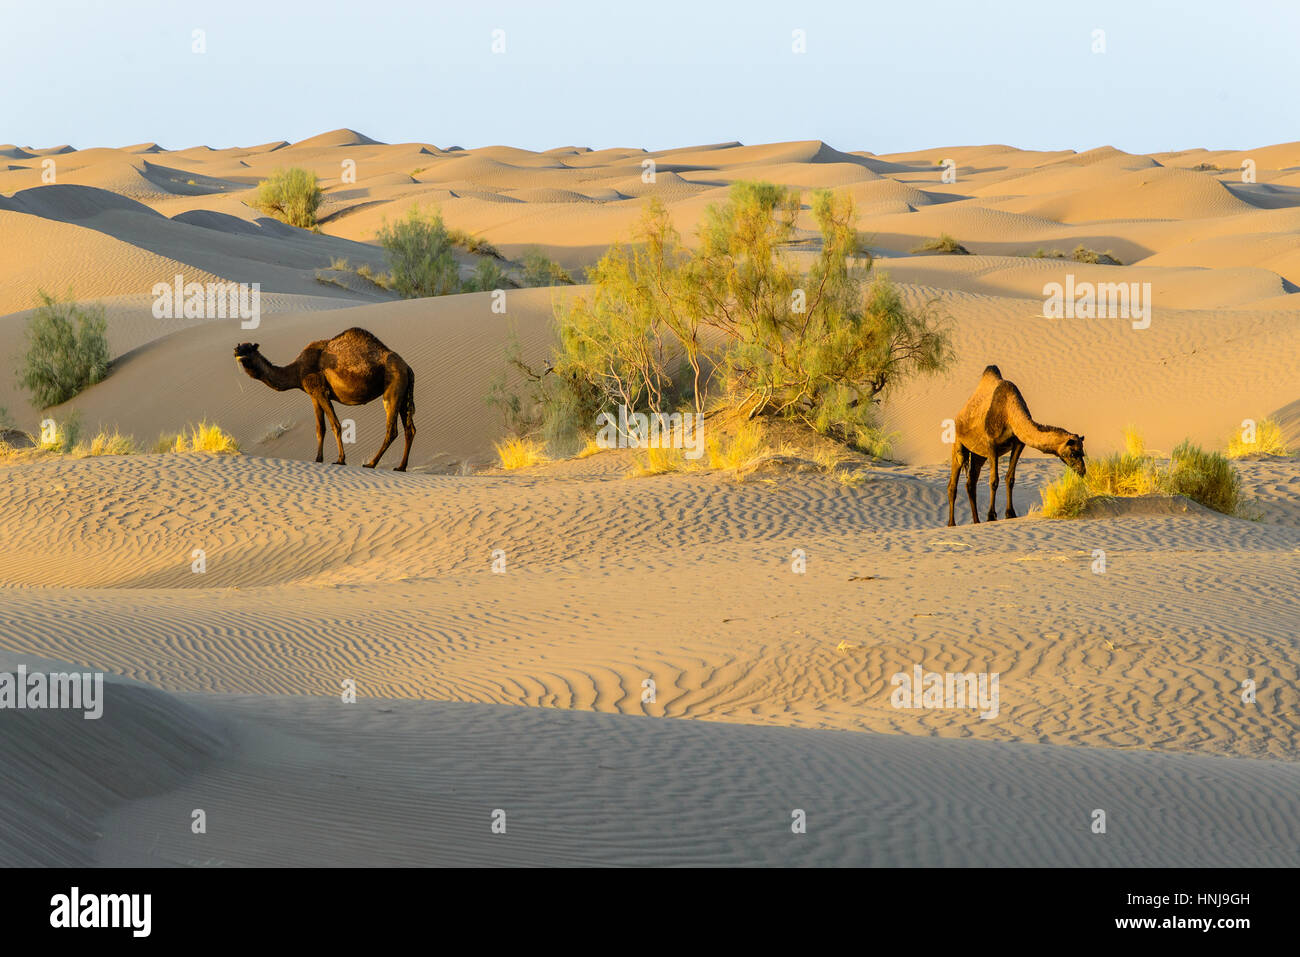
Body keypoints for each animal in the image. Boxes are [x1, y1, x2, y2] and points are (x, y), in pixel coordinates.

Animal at [234, 327, 415, 471]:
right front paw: (318, 459)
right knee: (410, 429)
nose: (236, 352)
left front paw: (340, 460)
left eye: (248, 349)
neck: (296, 371)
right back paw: (401, 467)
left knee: (392, 430)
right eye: (238, 347)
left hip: (393, 387)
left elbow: (335, 425)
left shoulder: (320, 391)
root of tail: (407, 367)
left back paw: (371, 464)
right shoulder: (313, 395)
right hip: (403, 393)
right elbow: (320, 428)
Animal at [946, 365, 1086, 526]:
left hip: (978, 454)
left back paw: (976, 521)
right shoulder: (991, 444)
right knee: (953, 483)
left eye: (1082, 453)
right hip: (958, 443)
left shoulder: (1018, 443)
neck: (1009, 412)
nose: (1083, 471)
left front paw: (1010, 514)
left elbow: (1010, 478)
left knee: (971, 483)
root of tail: (959, 415)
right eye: (1073, 453)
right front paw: (991, 516)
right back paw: (952, 523)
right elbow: (994, 480)